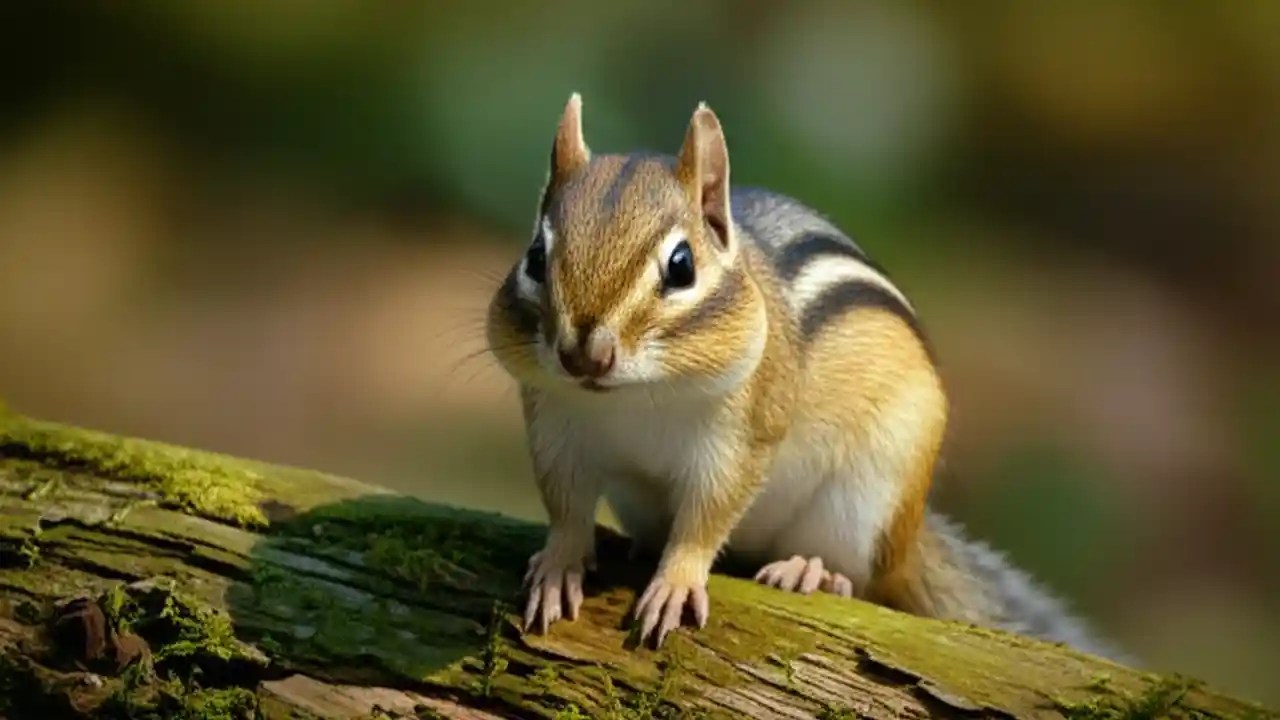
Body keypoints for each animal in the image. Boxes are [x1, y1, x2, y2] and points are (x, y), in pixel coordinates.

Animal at [485, 92, 1127, 661]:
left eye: (681, 266)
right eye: (535, 258)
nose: (585, 357)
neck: (636, 399)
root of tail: (910, 542)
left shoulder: (742, 435)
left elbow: (707, 517)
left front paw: (676, 581)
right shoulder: (556, 428)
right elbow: (566, 507)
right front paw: (560, 565)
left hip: (869, 498)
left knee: (857, 580)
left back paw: (810, 572)